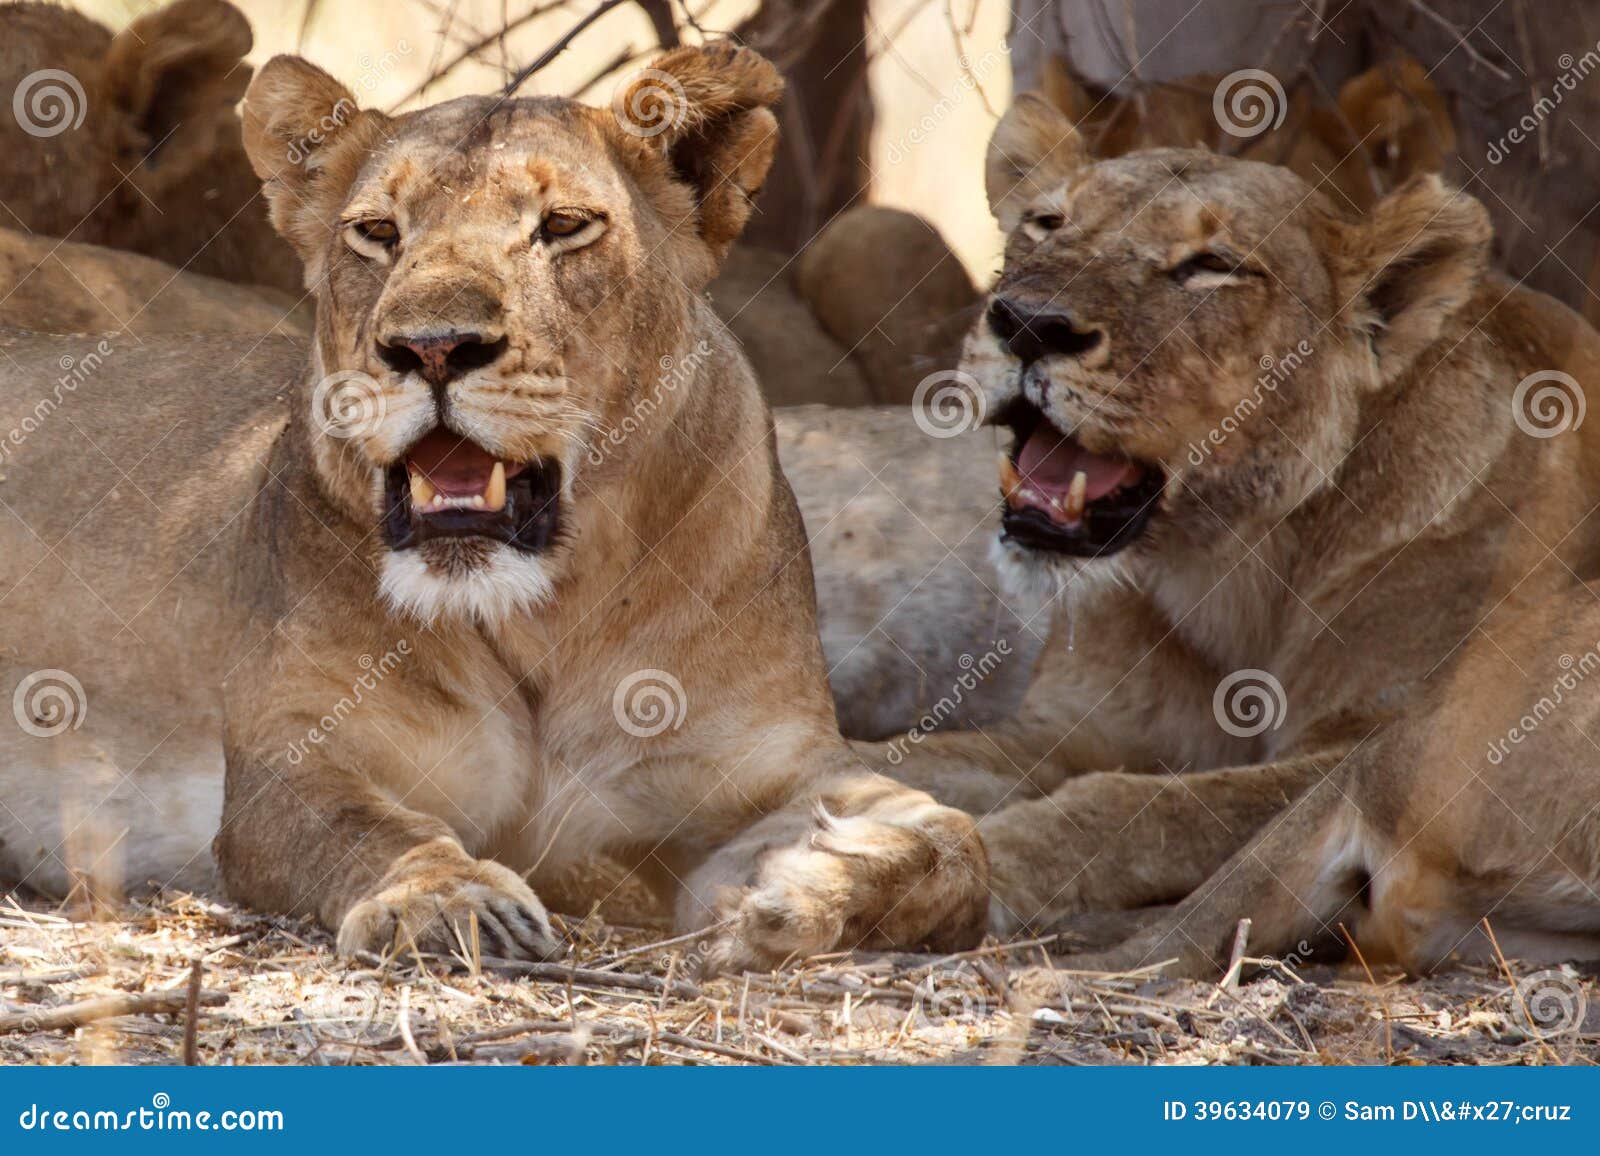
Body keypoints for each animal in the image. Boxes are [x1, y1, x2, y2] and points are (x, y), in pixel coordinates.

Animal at [0, 43, 989, 972]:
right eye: (377, 232)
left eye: (562, 226)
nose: (432, 347)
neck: (543, 613)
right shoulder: (297, 759)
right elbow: (371, 831)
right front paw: (444, 900)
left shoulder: (774, 758)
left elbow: (958, 842)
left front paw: (802, 890)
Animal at [877, 92, 1600, 978]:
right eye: (1046, 223)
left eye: (1210, 266)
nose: (1026, 324)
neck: (1237, 563)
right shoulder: (1078, 725)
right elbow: (925, 756)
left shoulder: (1382, 732)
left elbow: (1142, 807)